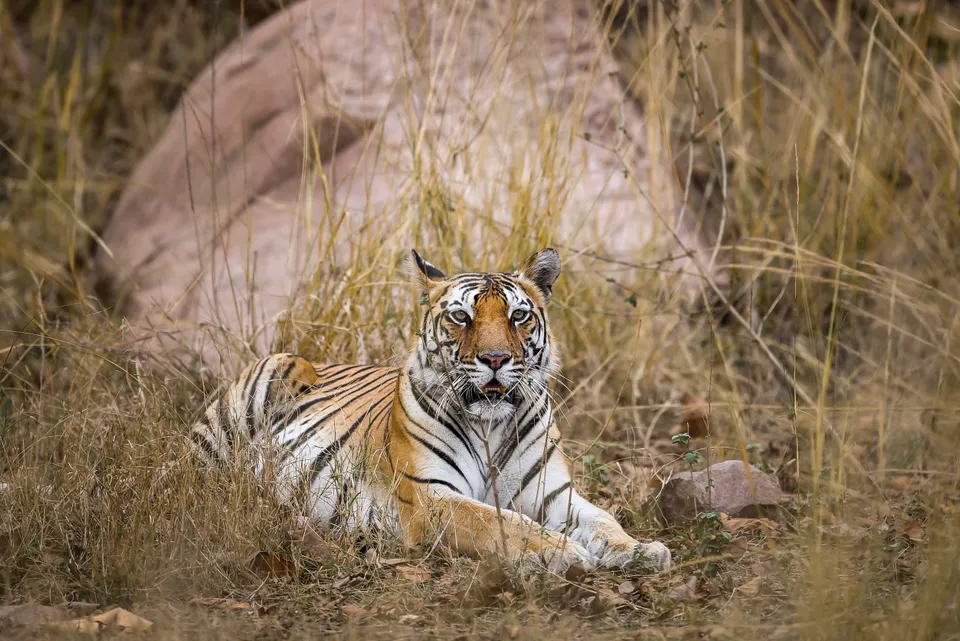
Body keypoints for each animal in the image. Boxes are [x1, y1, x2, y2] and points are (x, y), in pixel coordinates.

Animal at [189, 248, 671, 573]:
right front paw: (562, 551)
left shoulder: (552, 493)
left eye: (518, 316)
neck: (491, 427)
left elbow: (603, 518)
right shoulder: (431, 497)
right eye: (461, 316)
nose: (495, 359)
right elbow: (500, 521)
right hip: (272, 376)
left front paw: (641, 549)